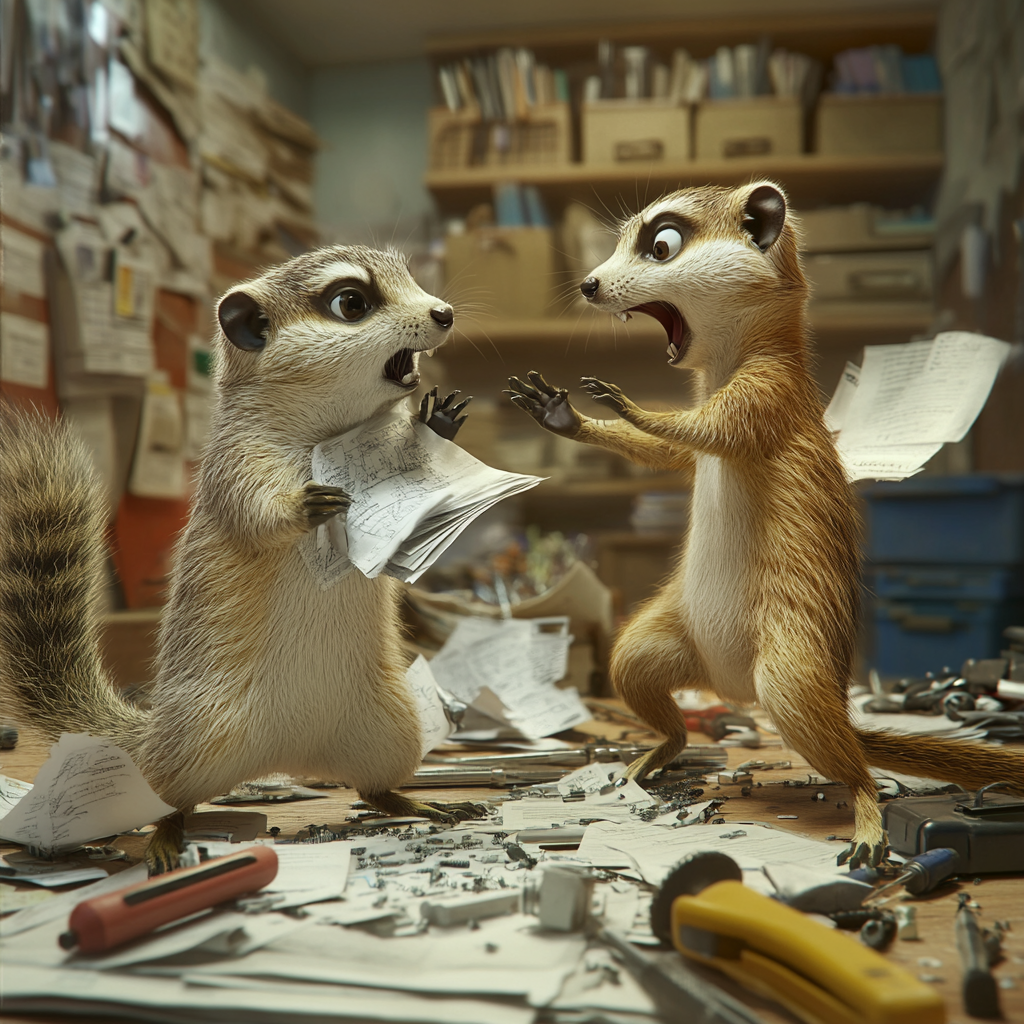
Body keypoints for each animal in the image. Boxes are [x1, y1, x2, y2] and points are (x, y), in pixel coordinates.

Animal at [0, 244, 482, 873]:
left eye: (410, 273)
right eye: (351, 302)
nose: (444, 312)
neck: (330, 430)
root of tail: (290, 754)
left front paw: (437, 423)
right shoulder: (237, 463)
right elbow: (258, 513)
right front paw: (305, 505)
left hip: (392, 730)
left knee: (375, 790)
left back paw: (423, 804)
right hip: (195, 741)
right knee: (169, 803)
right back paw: (164, 840)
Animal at [508, 181, 1024, 869]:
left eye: (662, 243)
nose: (588, 284)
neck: (724, 365)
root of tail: (730, 688)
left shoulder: (768, 393)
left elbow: (707, 429)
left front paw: (628, 403)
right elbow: (675, 453)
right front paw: (567, 416)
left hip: (791, 662)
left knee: (839, 752)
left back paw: (866, 812)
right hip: (655, 641)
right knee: (639, 677)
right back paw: (655, 752)